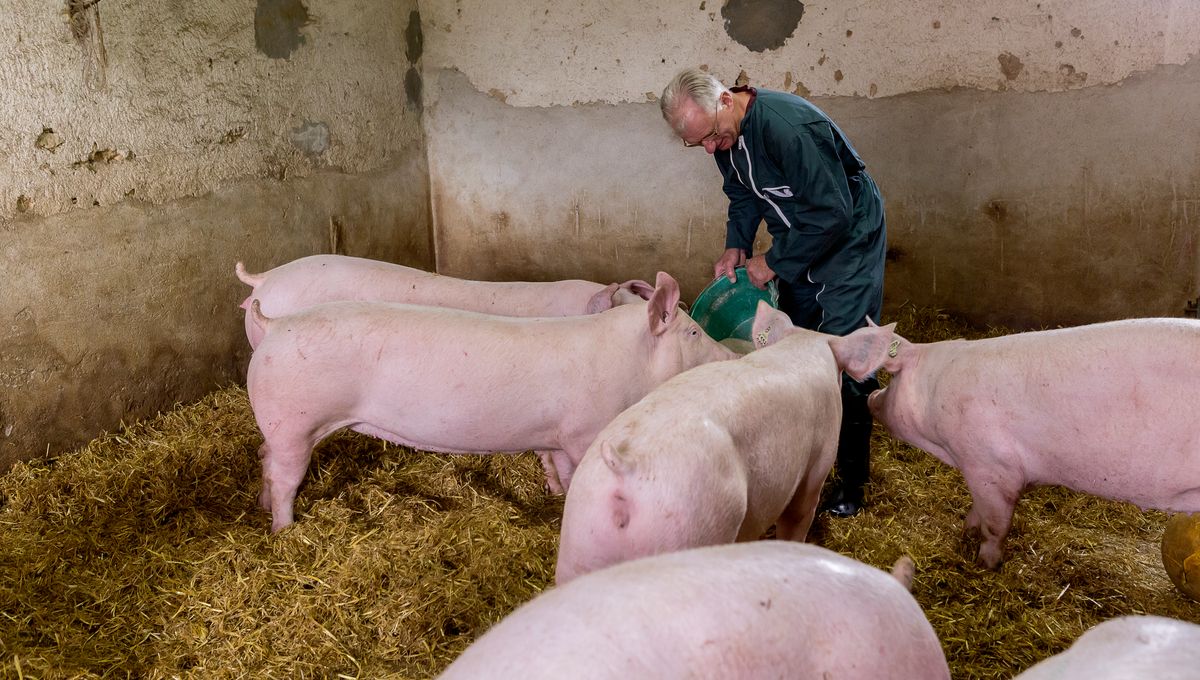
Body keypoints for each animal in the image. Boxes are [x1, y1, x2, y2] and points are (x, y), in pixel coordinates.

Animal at [246, 272, 737, 531]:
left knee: (264, 459)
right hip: (296, 423)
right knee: (285, 477)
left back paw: (263, 509)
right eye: (694, 332)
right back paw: (285, 529)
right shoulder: (585, 432)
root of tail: (275, 326)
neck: (627, 360)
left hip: (279, 426)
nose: (733, 356)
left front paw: (557, 497)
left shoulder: (559, 435)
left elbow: (559, 470)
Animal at [555, 301, 874, 584]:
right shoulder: (817, 463)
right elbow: (798, 515)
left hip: (580, 538)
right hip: (690, 525)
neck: (801, 346)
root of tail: (625, 464)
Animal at [834, 317, 1200, 569]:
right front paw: (965, 531)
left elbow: (996, 522)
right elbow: (978, 509)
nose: (871, 396)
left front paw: (985, 564)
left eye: (892, 378)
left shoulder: (992, 465)